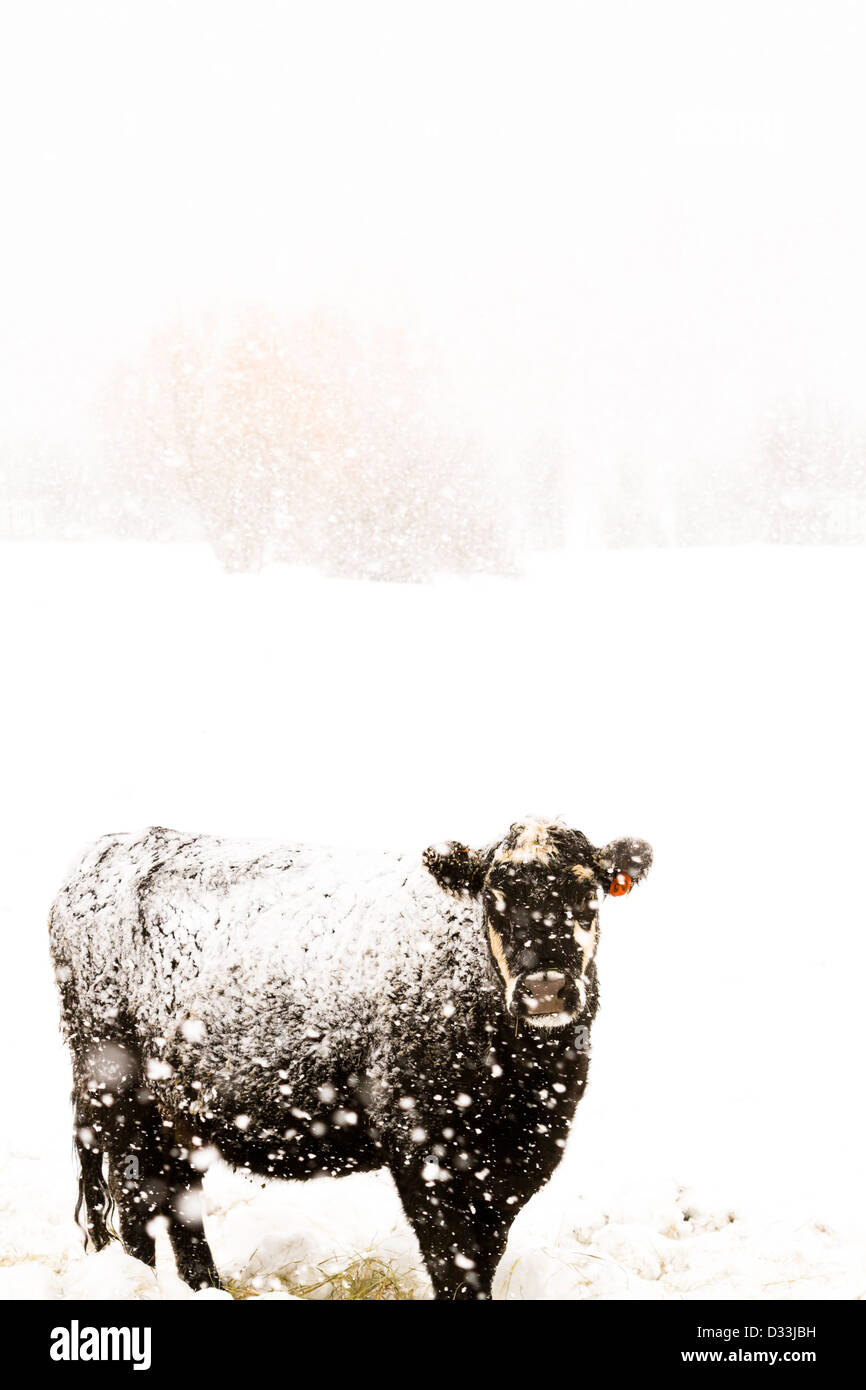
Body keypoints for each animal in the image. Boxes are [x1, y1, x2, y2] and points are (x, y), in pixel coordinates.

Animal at [49, 817, 652, 1299]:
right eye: (493, 898)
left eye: (588, 894)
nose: (545, 988)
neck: (518, 1076)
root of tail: (113, 847)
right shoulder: (420, 1148)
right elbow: (454, 1262)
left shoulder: (521, 1158)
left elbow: (485, 1253)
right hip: (116, 1086)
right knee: (138, 1204)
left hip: (175, 1108)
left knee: (176, 1199)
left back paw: (207, 1287)